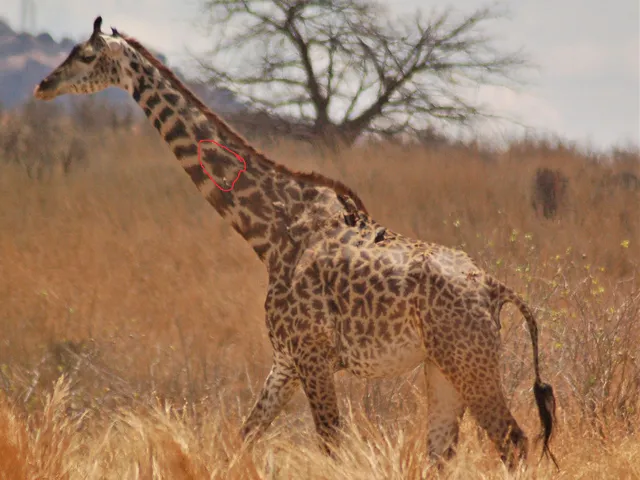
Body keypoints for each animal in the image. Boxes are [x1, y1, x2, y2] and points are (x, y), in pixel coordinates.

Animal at [33, 17, 558, 471]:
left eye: (85, 55)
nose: (43, 86)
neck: (271, 232)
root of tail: (493, 288)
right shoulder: (285, 359)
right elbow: (242, 438)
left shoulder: (313, 354)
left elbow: (331, 448)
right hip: (441, 367)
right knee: (441, 452)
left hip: (469, 362)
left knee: (512, 441)